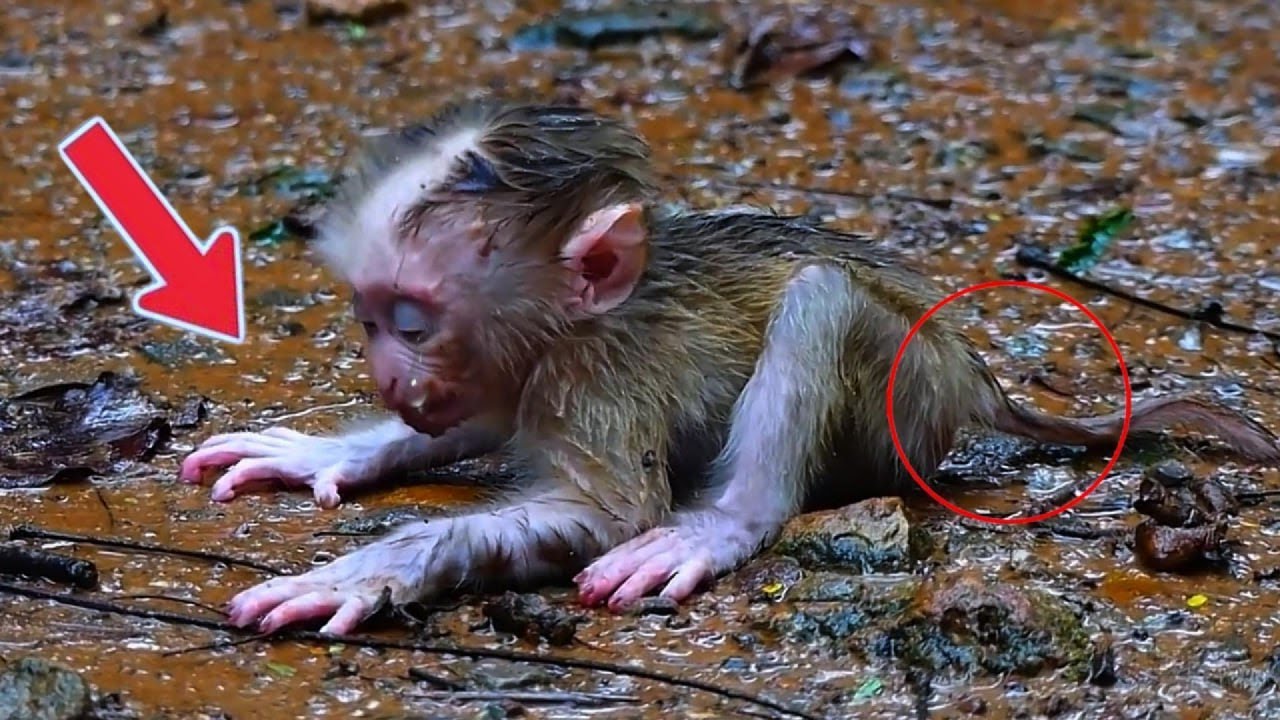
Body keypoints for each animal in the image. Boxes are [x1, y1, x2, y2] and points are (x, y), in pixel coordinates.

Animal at [179, 100, 1280, 636]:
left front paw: (371, 572)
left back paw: (727, 524)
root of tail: (976, 377)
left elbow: (601, 519)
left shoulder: (595, 377)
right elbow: (473, 420)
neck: (574, 330)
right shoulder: (518, 376)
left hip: (908, 392)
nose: (386, 376)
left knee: (821, 297)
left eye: (410, 322)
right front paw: (330, 454)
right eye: (368, 321)